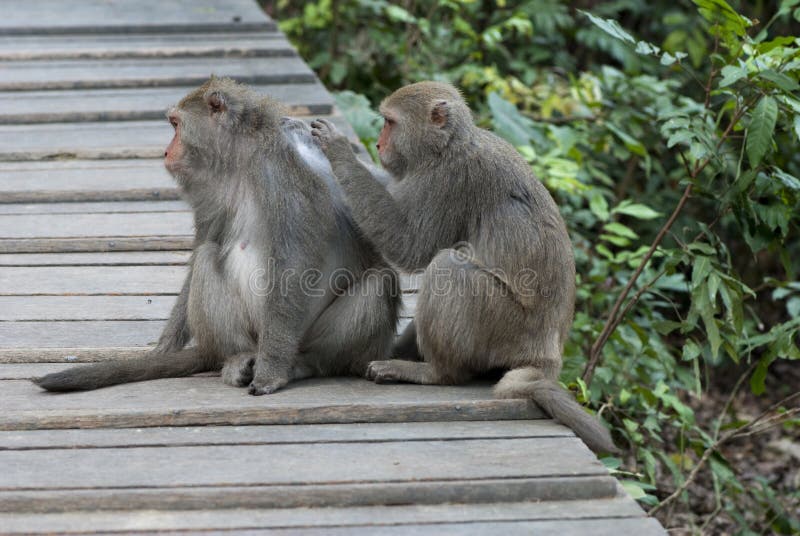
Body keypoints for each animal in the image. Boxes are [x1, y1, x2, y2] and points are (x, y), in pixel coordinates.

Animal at [33, 77, 401, 396]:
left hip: (298, 337)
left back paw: (304, 363)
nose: (166, 152)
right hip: (249, 332)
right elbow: (202, 248)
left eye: (175, 125)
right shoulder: (211, 188)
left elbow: (294, 264)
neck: (242, 159)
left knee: (378, 282)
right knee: (208, 257)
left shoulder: (280, 178)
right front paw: (163, 349)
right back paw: (237, 357)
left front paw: (270, 373)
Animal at [310, 81, 618, 454]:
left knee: (449, 268)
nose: (380, 145)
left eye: (389, 123)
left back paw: (436, 373)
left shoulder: (450, 180)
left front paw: (338, 150)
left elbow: (412, 246)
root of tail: (547, 355)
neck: (445, 148)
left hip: (508, 327)